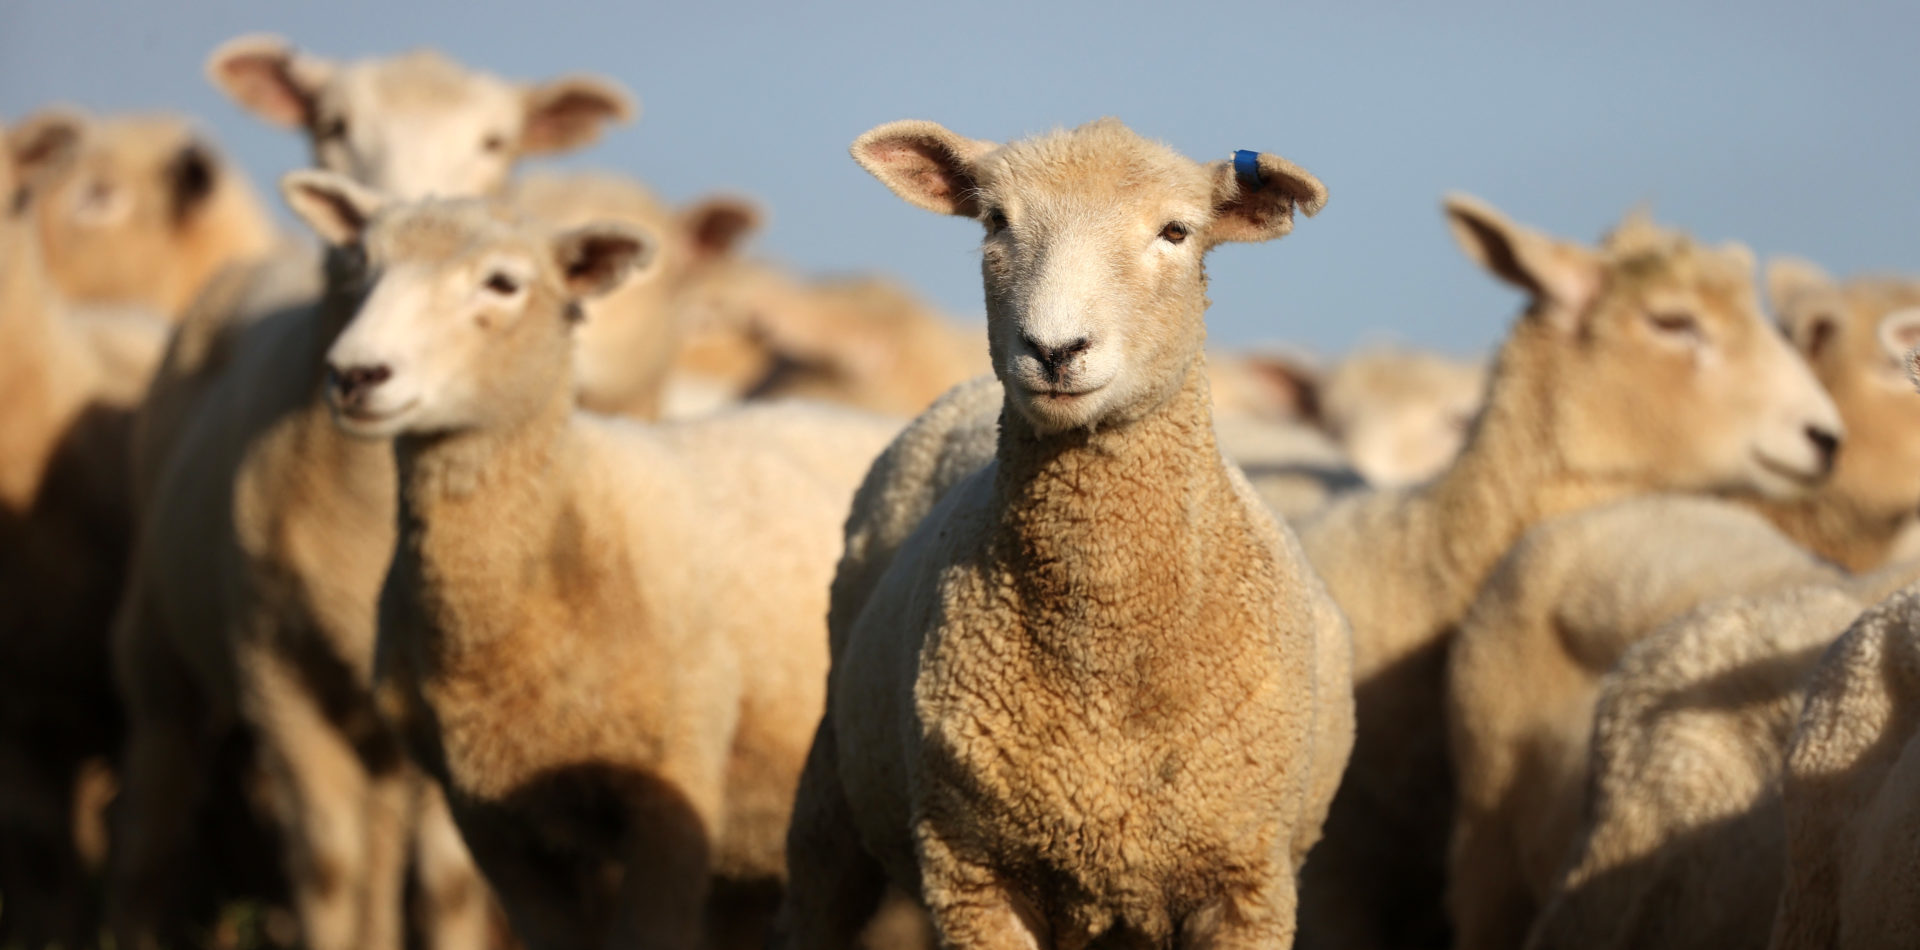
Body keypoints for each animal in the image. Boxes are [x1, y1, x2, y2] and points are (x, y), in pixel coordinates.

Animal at [778, 117, 1353, 950]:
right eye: (994, 221)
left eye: (1176, 231)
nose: (1053, 350)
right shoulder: (974, 876)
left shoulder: (1245, 885)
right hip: (831, 796)